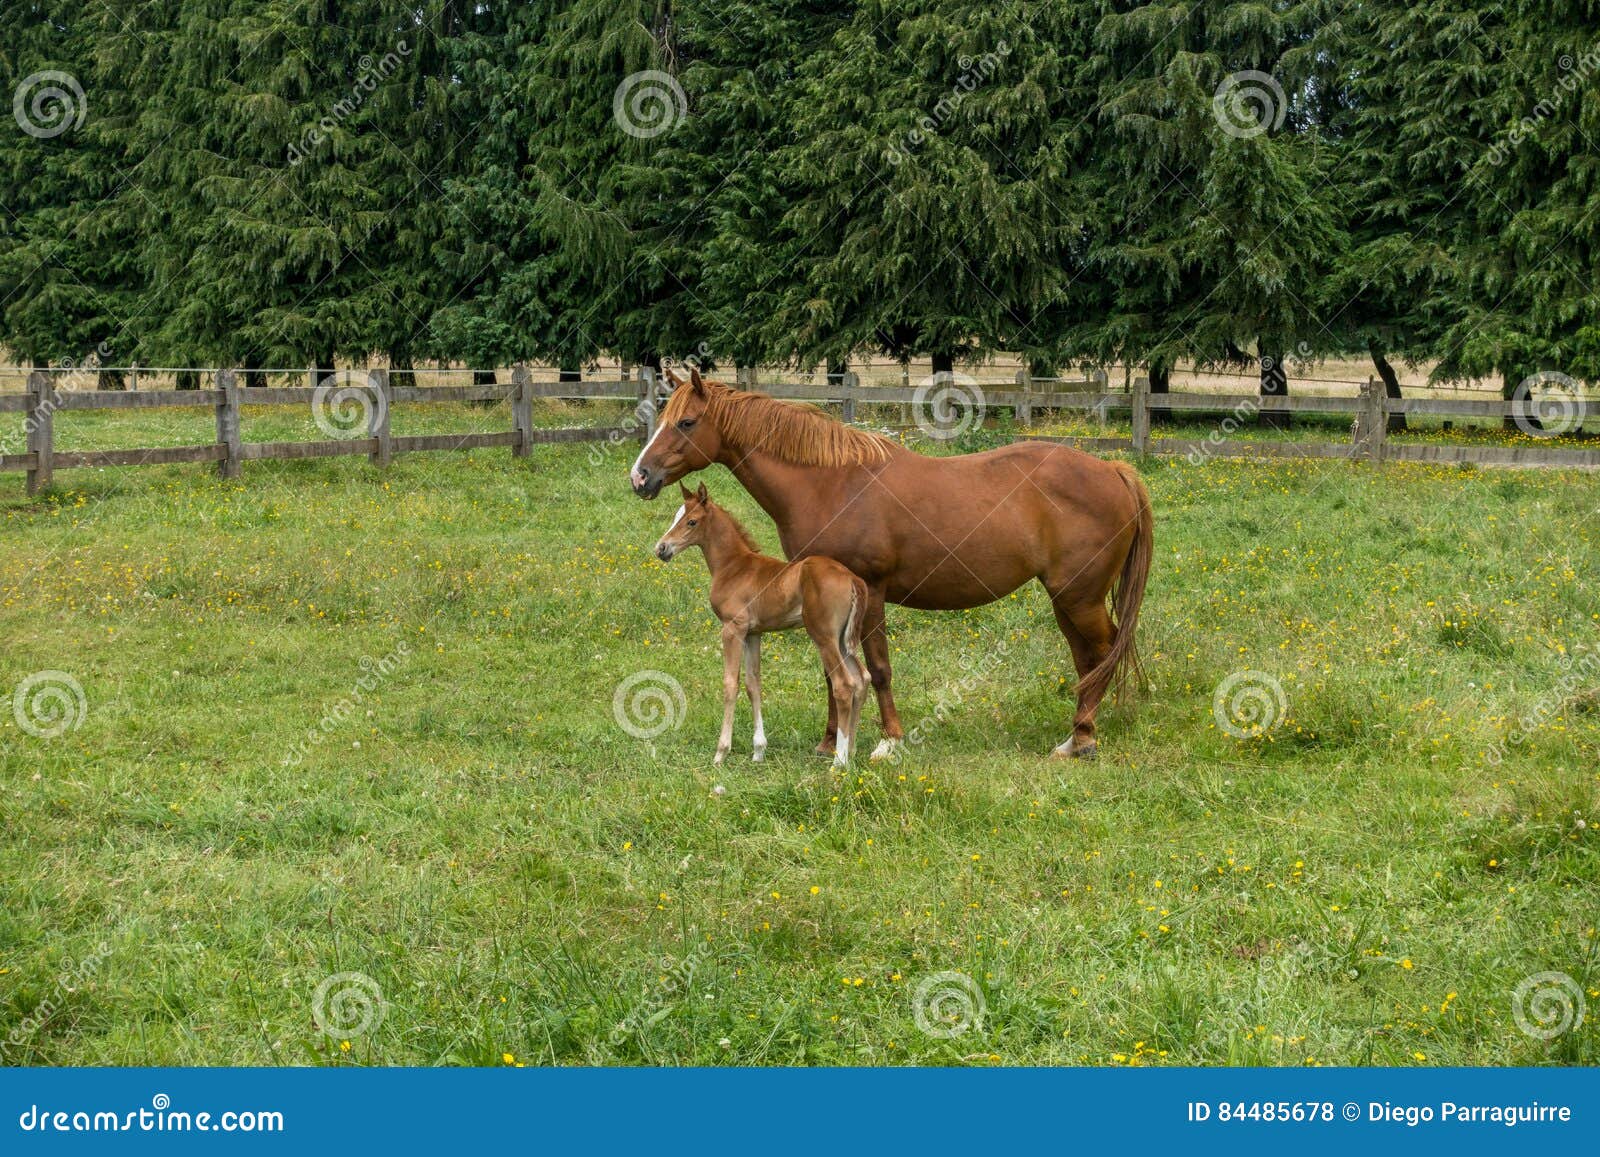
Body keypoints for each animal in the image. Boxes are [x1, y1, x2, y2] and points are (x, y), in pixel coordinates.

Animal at [653, 482, 870, 767]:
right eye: (675, 516)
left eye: (691, 521)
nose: (661, 548)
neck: (733, 566)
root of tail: (852, 579)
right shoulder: (753, 633)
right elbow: (753, 684)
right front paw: (758, 750)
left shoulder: (732, 629)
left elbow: (730, 684)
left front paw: (721, 752)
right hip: (844, 641)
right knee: (862, 679)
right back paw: (851, 751)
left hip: (824, 638)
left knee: (844, 685)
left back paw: (839, 761)